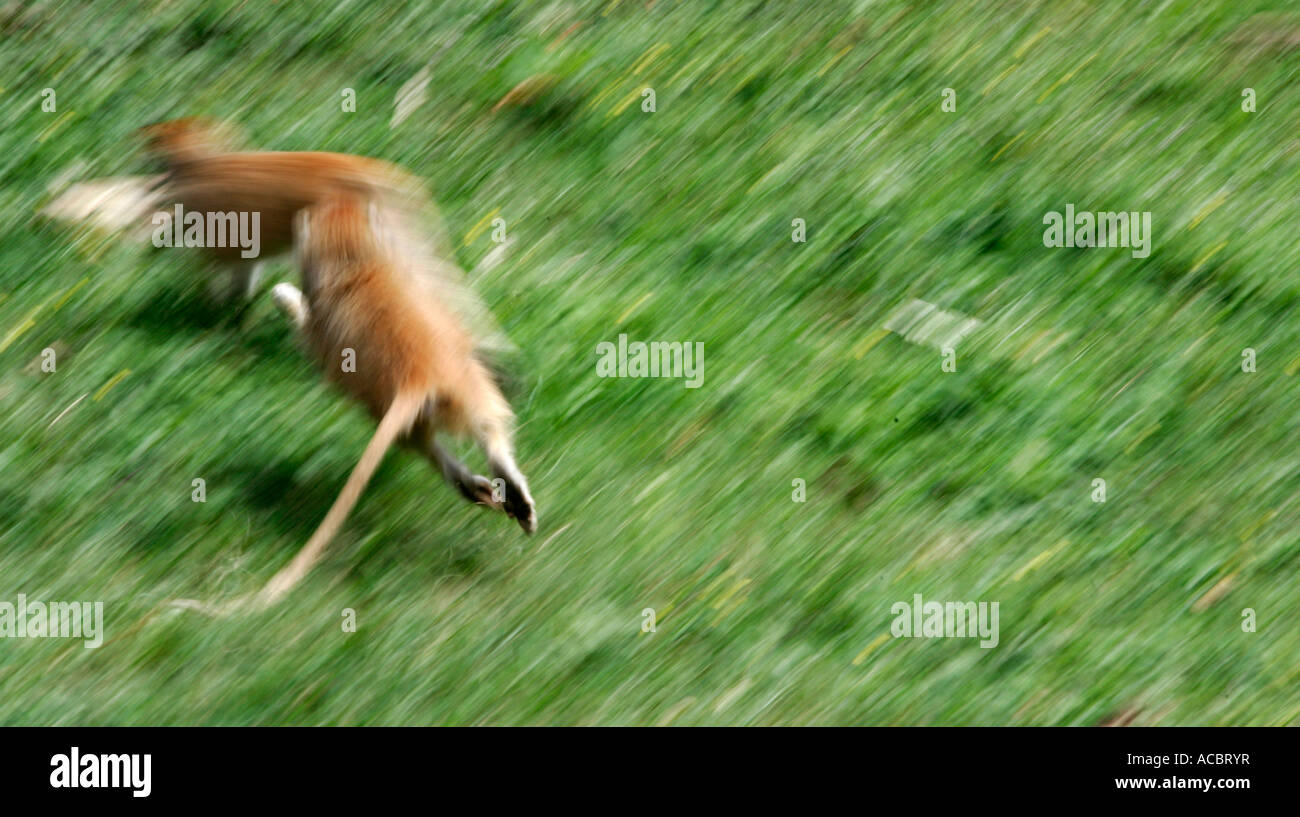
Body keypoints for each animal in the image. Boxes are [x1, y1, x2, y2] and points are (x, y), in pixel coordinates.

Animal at [249, 192, 535, 607]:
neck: (358, 265)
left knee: (431, 442)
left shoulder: (323, 324)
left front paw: (284, 296)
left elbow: (306, 324)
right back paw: (496, 488)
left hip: (405, 397)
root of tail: (419, 372)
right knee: (475, 432)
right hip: (466, 389)